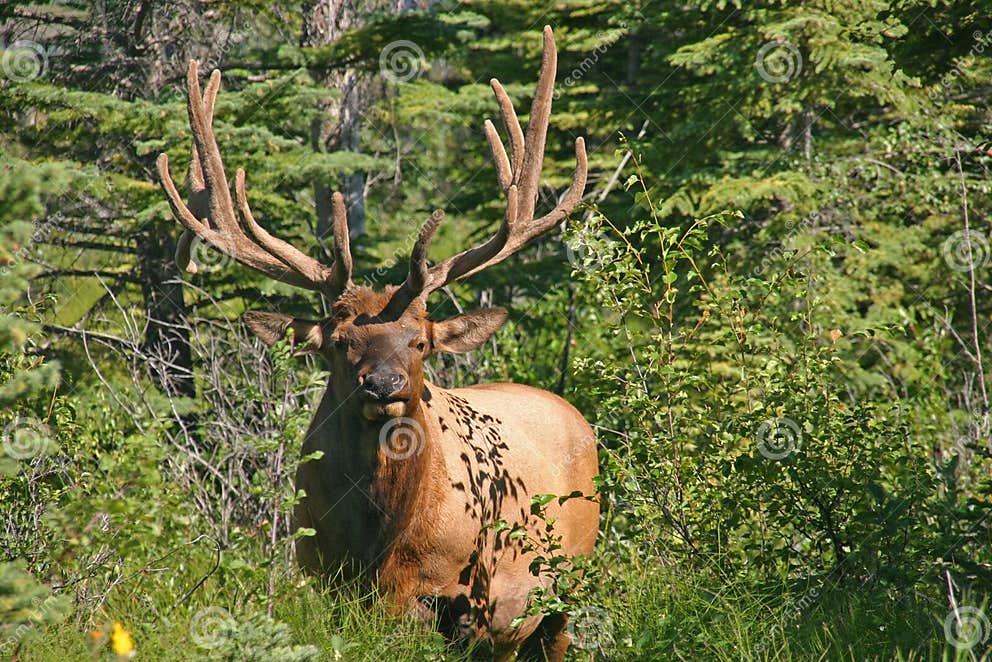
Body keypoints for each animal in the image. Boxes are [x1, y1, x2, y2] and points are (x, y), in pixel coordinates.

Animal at [156, 26, 598, 662]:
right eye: (339, 342)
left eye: (420, 342)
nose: (383, 384)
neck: (379, 541)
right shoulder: (320, 576)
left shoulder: (453, 595)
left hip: (568, 582)